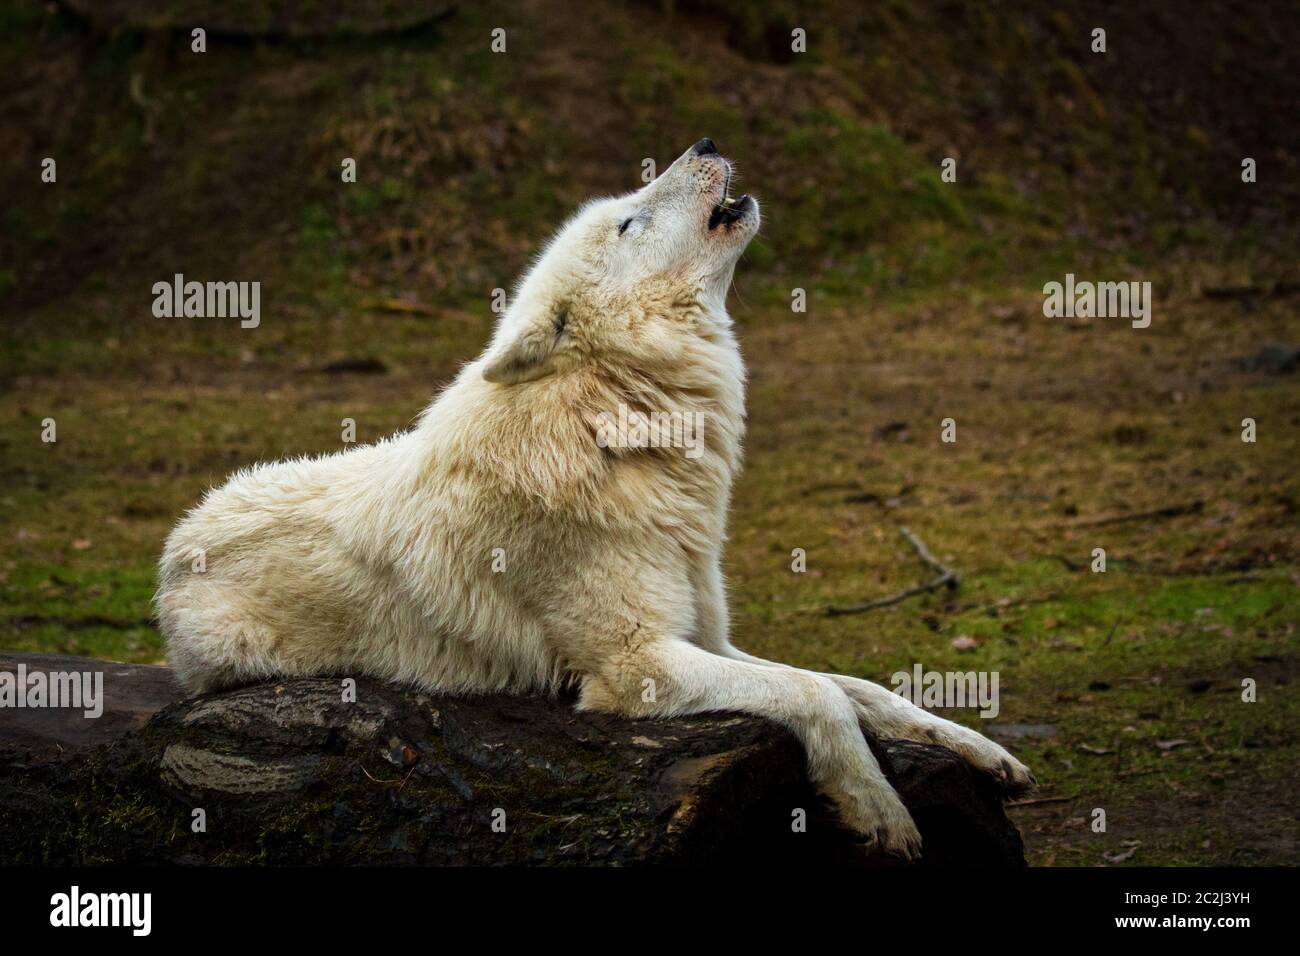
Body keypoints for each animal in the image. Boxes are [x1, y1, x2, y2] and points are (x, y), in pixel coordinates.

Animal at [157, 140, 1033, 857]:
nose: (706, 142)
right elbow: (816, 693)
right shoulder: (636, 665)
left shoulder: (708, 636)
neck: (621, 426)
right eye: (628, 222)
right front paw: (879, 809)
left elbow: (861, 687)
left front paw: (979, 751)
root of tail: (175, 544)